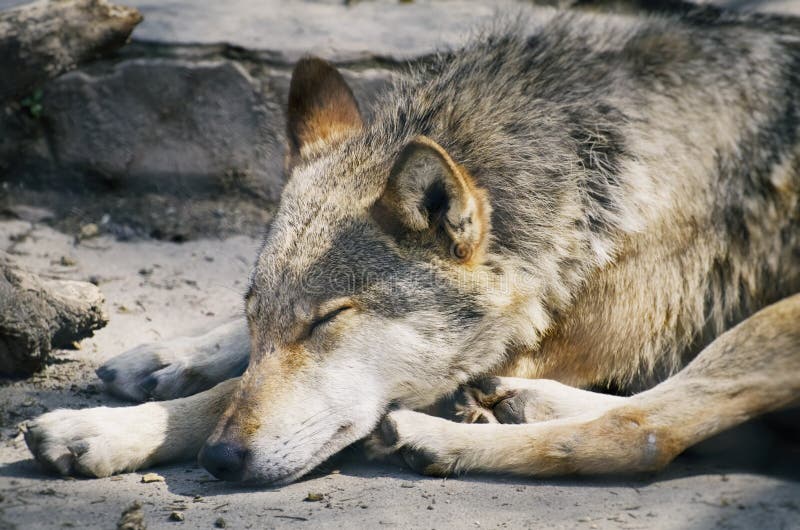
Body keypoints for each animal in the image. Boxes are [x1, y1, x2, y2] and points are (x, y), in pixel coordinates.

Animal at [24, 5, 800, 485]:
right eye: (255, 310)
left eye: (329, 322)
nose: (219, 463)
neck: (583, 169)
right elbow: (235, 364)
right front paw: (164, 358)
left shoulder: (547, 339)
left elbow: (224, 398)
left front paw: (102, 431)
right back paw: (513, 402)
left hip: (775, 322)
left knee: (642, 433)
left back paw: (442, 436)